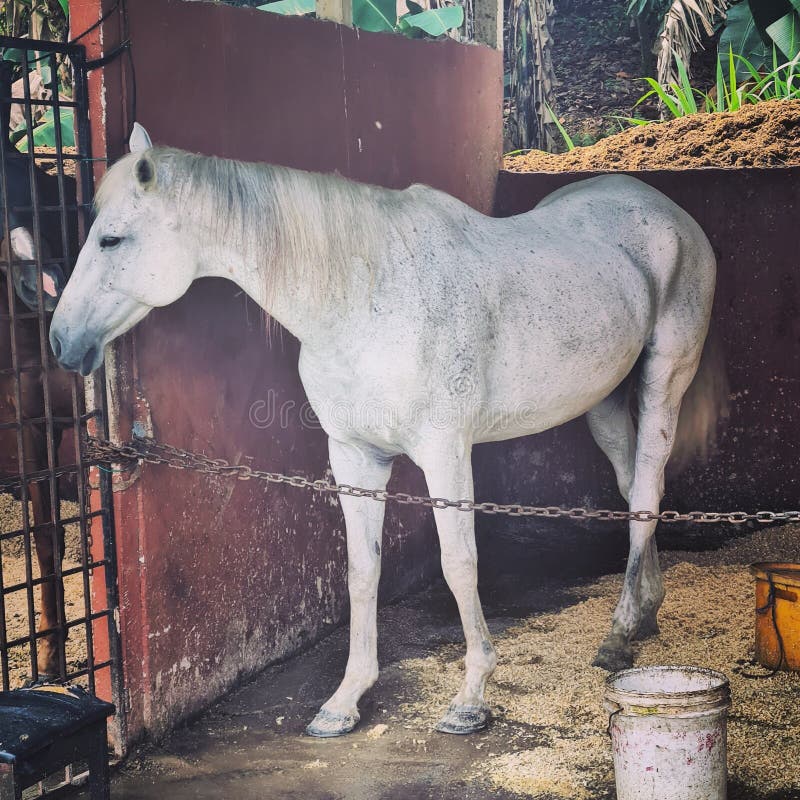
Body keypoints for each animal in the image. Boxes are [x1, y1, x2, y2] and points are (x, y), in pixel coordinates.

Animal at [50, 123, 724, 736]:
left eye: (111, 238)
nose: (60, 342)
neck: (364, 297)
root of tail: (662, 208)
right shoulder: (355, 456)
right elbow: (361, 570)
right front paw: (345, 700)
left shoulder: (445, 452)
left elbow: (460, 564)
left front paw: (470, 697)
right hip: (603, 402)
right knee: (634, 489)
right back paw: (643, 613)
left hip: (665, 378)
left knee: (647, 489)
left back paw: (618, 635)